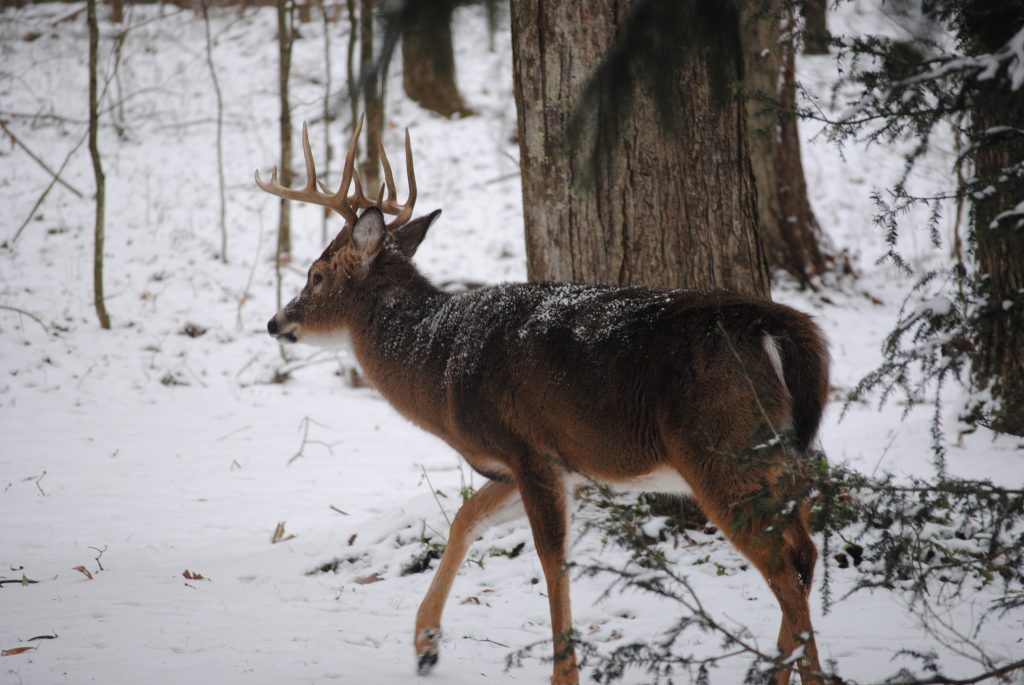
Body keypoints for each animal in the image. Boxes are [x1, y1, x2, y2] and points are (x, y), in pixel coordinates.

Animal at [256, 116, 830, 685]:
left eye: (315, 275)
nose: (275, 322)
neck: (440, 363)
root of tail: (774, 327)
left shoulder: (525, 447)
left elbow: (552, 561)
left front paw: (561, 674)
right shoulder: (542, 463)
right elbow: (465, 518)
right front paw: (425, 645)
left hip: (722, 449)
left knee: (782, 563)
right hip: (777, 454)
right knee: (805, 550)